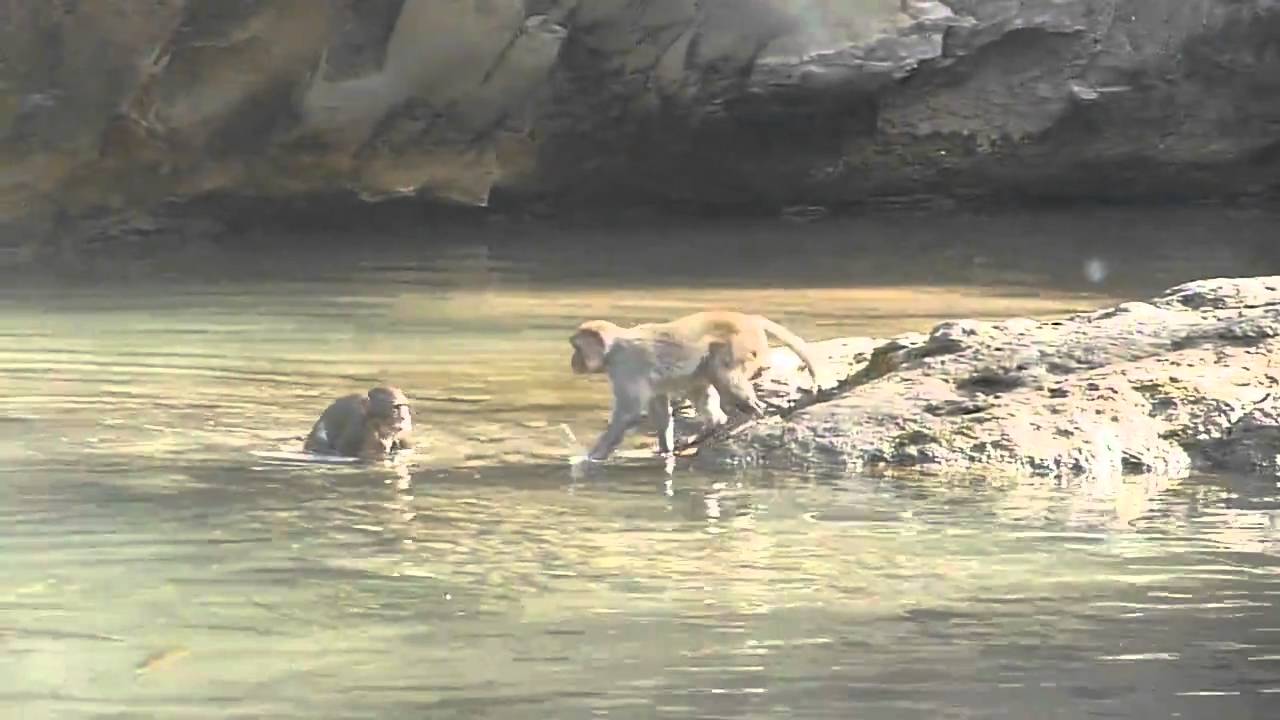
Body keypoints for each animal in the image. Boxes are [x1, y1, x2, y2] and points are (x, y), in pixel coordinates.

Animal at [569, 311, 824, 463]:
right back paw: (715, 425)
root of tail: (747, 318)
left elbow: (628, 413)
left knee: (722, 371)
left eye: (577, 348)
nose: (573, 361)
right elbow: (659, 407)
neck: (611, 349)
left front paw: (592, 457)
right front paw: (665, 450)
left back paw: (748, 416)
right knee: (702, 378)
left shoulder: (625, 365)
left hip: (741, 346)